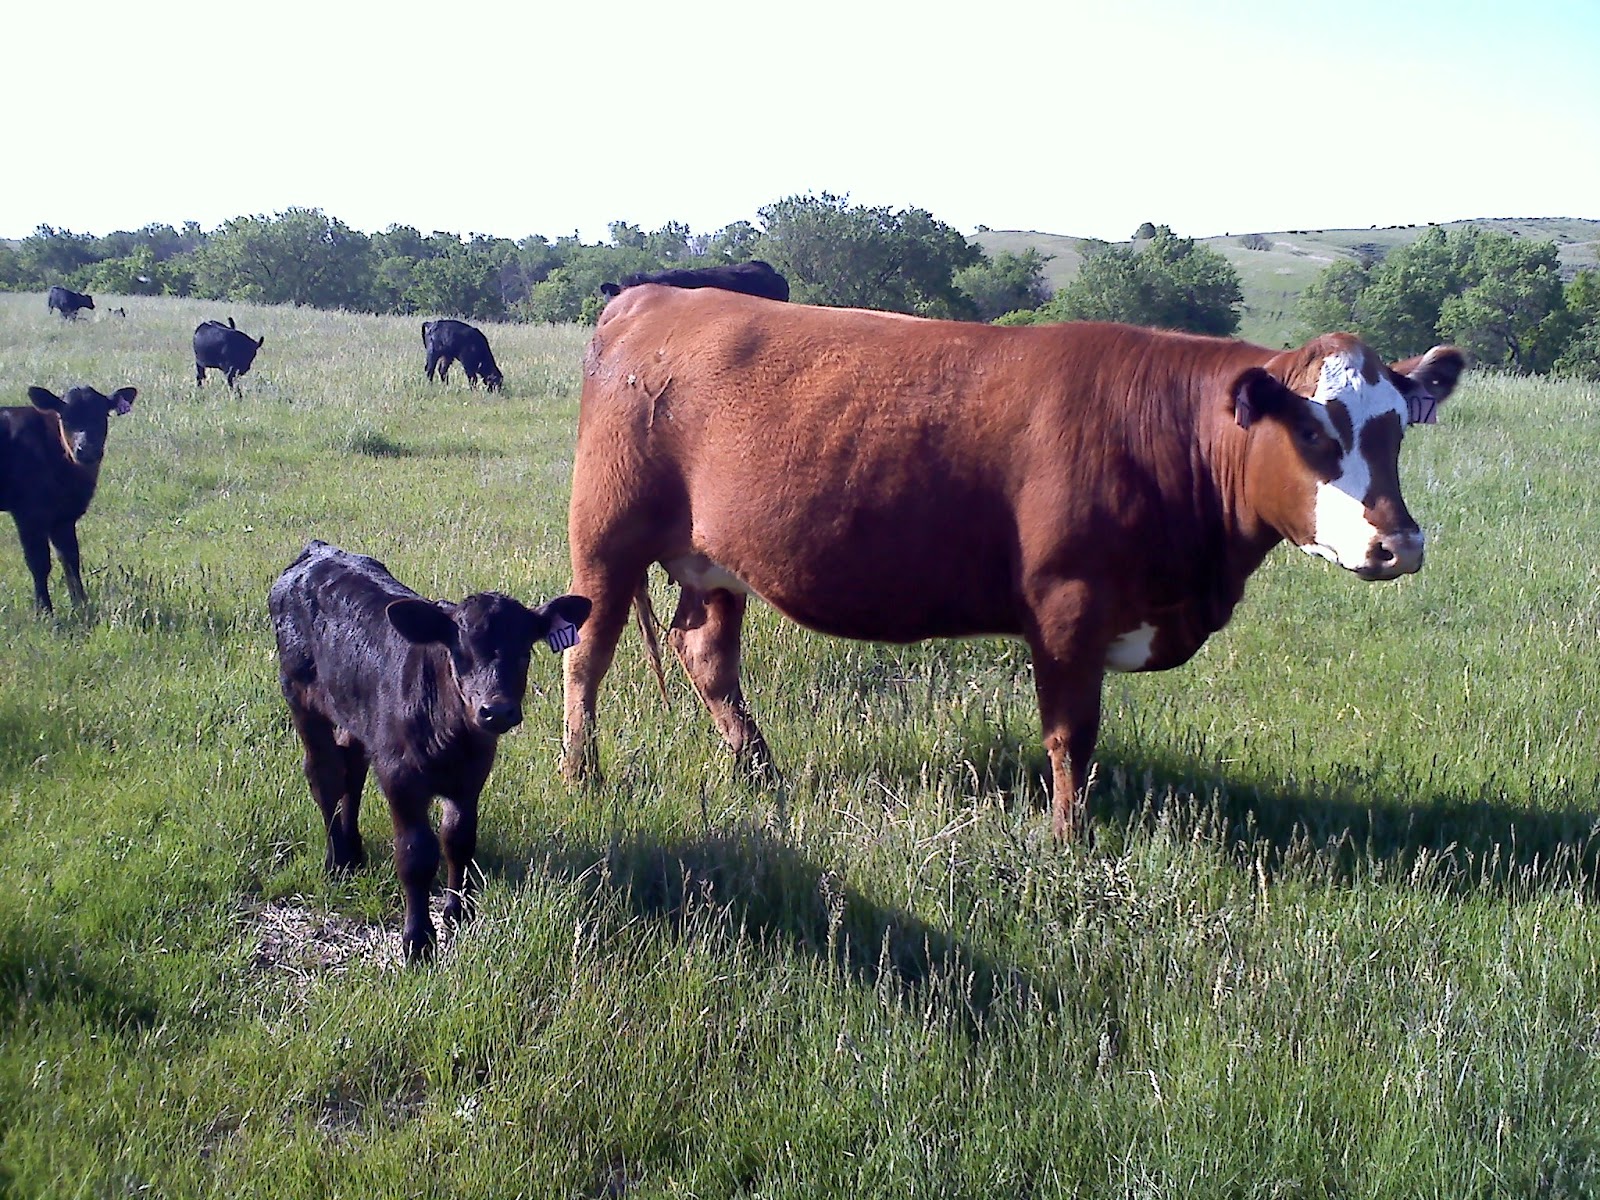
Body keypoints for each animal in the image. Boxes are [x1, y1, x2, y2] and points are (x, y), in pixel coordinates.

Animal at [0, 384, 137, 612]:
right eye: (66, 417)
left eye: (102, 415)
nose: (87, 450)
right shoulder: (28, 513)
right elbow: (38, 563)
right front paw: (44, 610)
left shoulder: (64, 516)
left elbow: (70, 559)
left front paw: (81, 604)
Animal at [269, 540, 591, 961]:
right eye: (459, 652)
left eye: (524, 652)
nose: (496, 710)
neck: (452, 737)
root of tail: (318, 551)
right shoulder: (399, 776)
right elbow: (416, 854)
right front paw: (418, 940)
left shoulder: (472, 775)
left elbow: (458, 838)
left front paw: (458, 911)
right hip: (299, 695)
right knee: (324, 772)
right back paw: (336, 859)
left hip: (355, 714)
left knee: (351, 767)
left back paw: (353, 851)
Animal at [561, 286, 1466, 840]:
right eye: (1314, 431)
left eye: (1396, 427)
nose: (1401, 544)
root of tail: (655, 296)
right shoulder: (1066, 608)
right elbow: (1072, 734)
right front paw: (1070, 836)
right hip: (605, 535)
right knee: (587, 657)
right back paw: (582, 775)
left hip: (714, 559)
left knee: (708, 656)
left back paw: (758, 769)